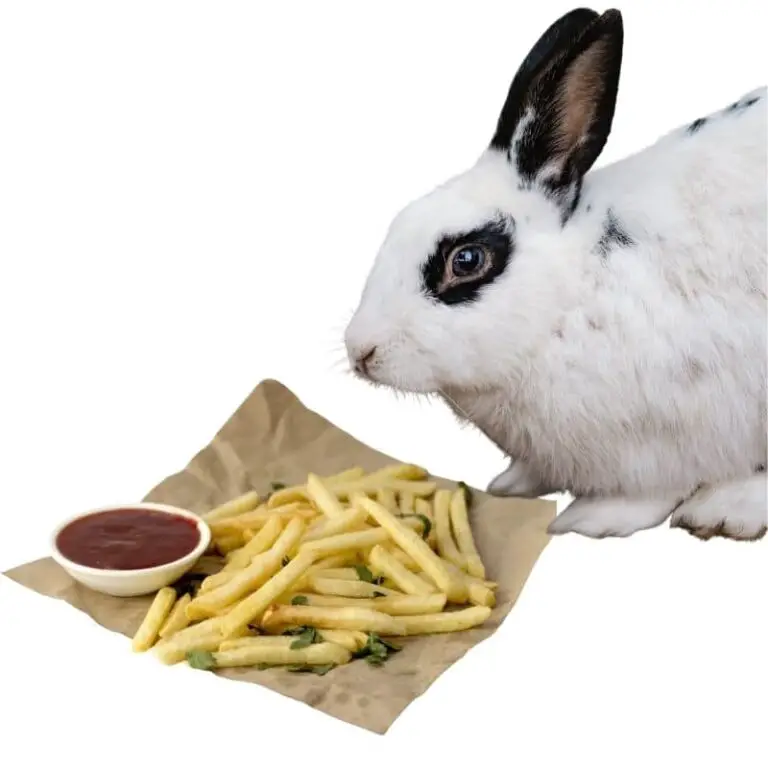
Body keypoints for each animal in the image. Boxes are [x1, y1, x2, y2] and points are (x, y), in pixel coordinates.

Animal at [344, 7, 767, 541]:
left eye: (467, 260)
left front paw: (590, 519)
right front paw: (512, 485)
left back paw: (722, 512)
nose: (360, 352)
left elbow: (647, 492)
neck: (573, 296)